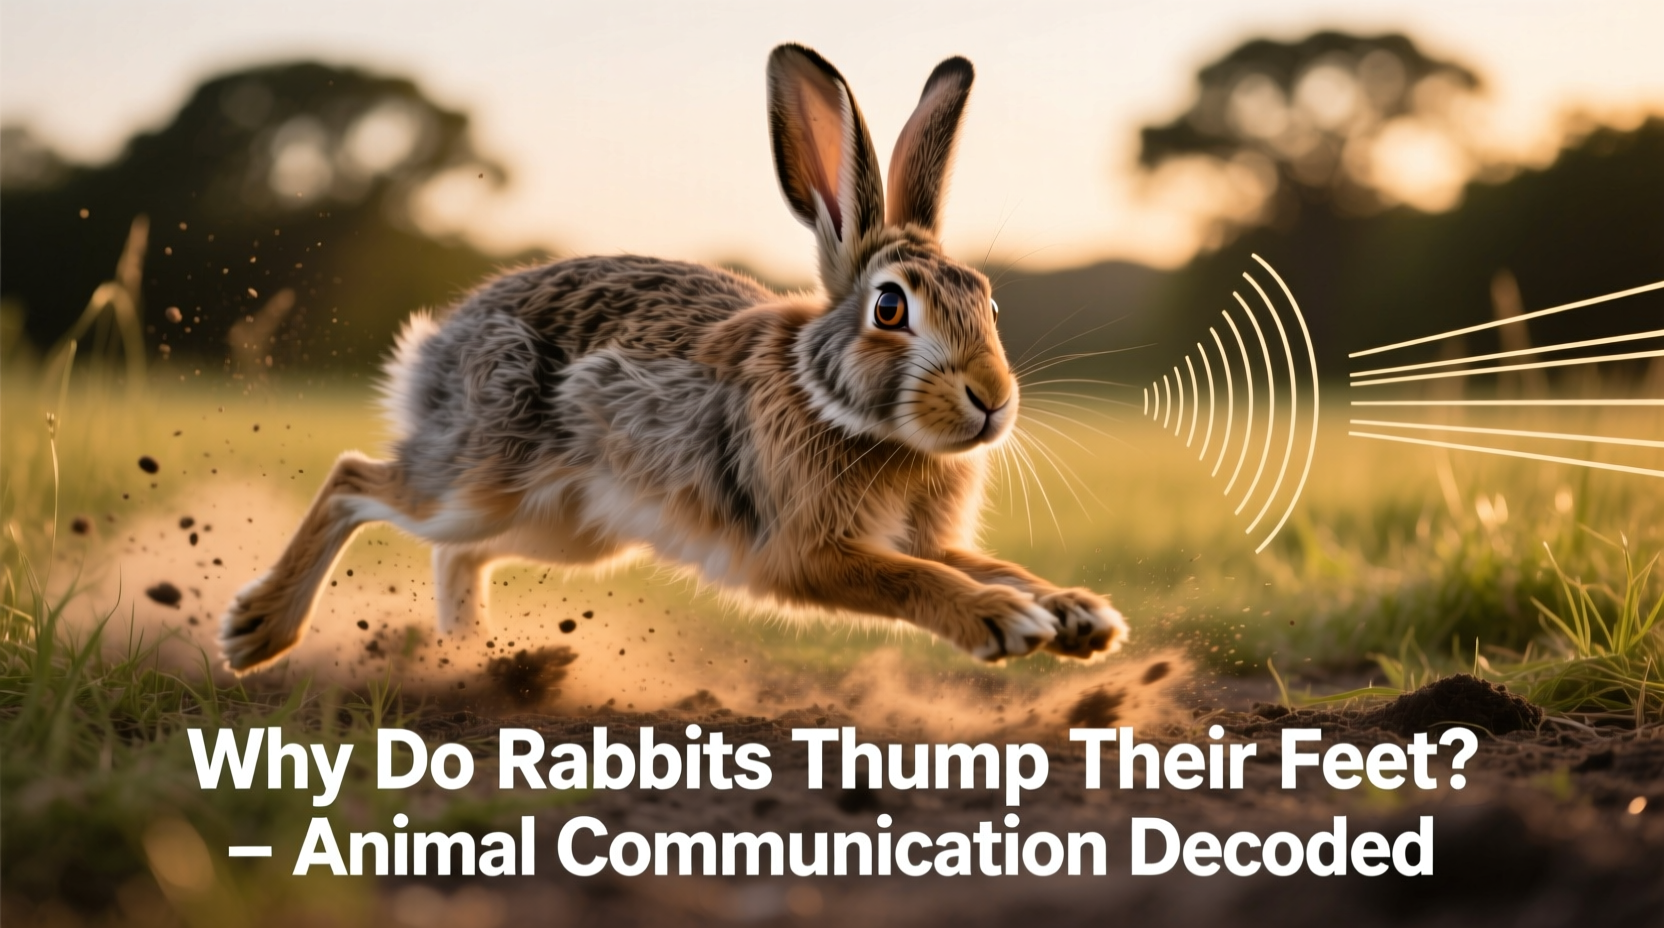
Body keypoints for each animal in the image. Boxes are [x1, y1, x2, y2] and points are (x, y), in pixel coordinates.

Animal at [219, 43, 1128, 673]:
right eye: (890, 307)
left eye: (988, 302)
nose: (992, 400)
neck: (838, 404)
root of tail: (438, 344)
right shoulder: (810, 551)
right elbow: (915, 580)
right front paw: (1003, 620)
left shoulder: (921, 538)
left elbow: (988, 563)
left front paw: (1079, 616)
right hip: (477, 481)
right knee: (357, 480)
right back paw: (257, 632)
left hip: (566, 526)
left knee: (456, 553)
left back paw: (477, 663)